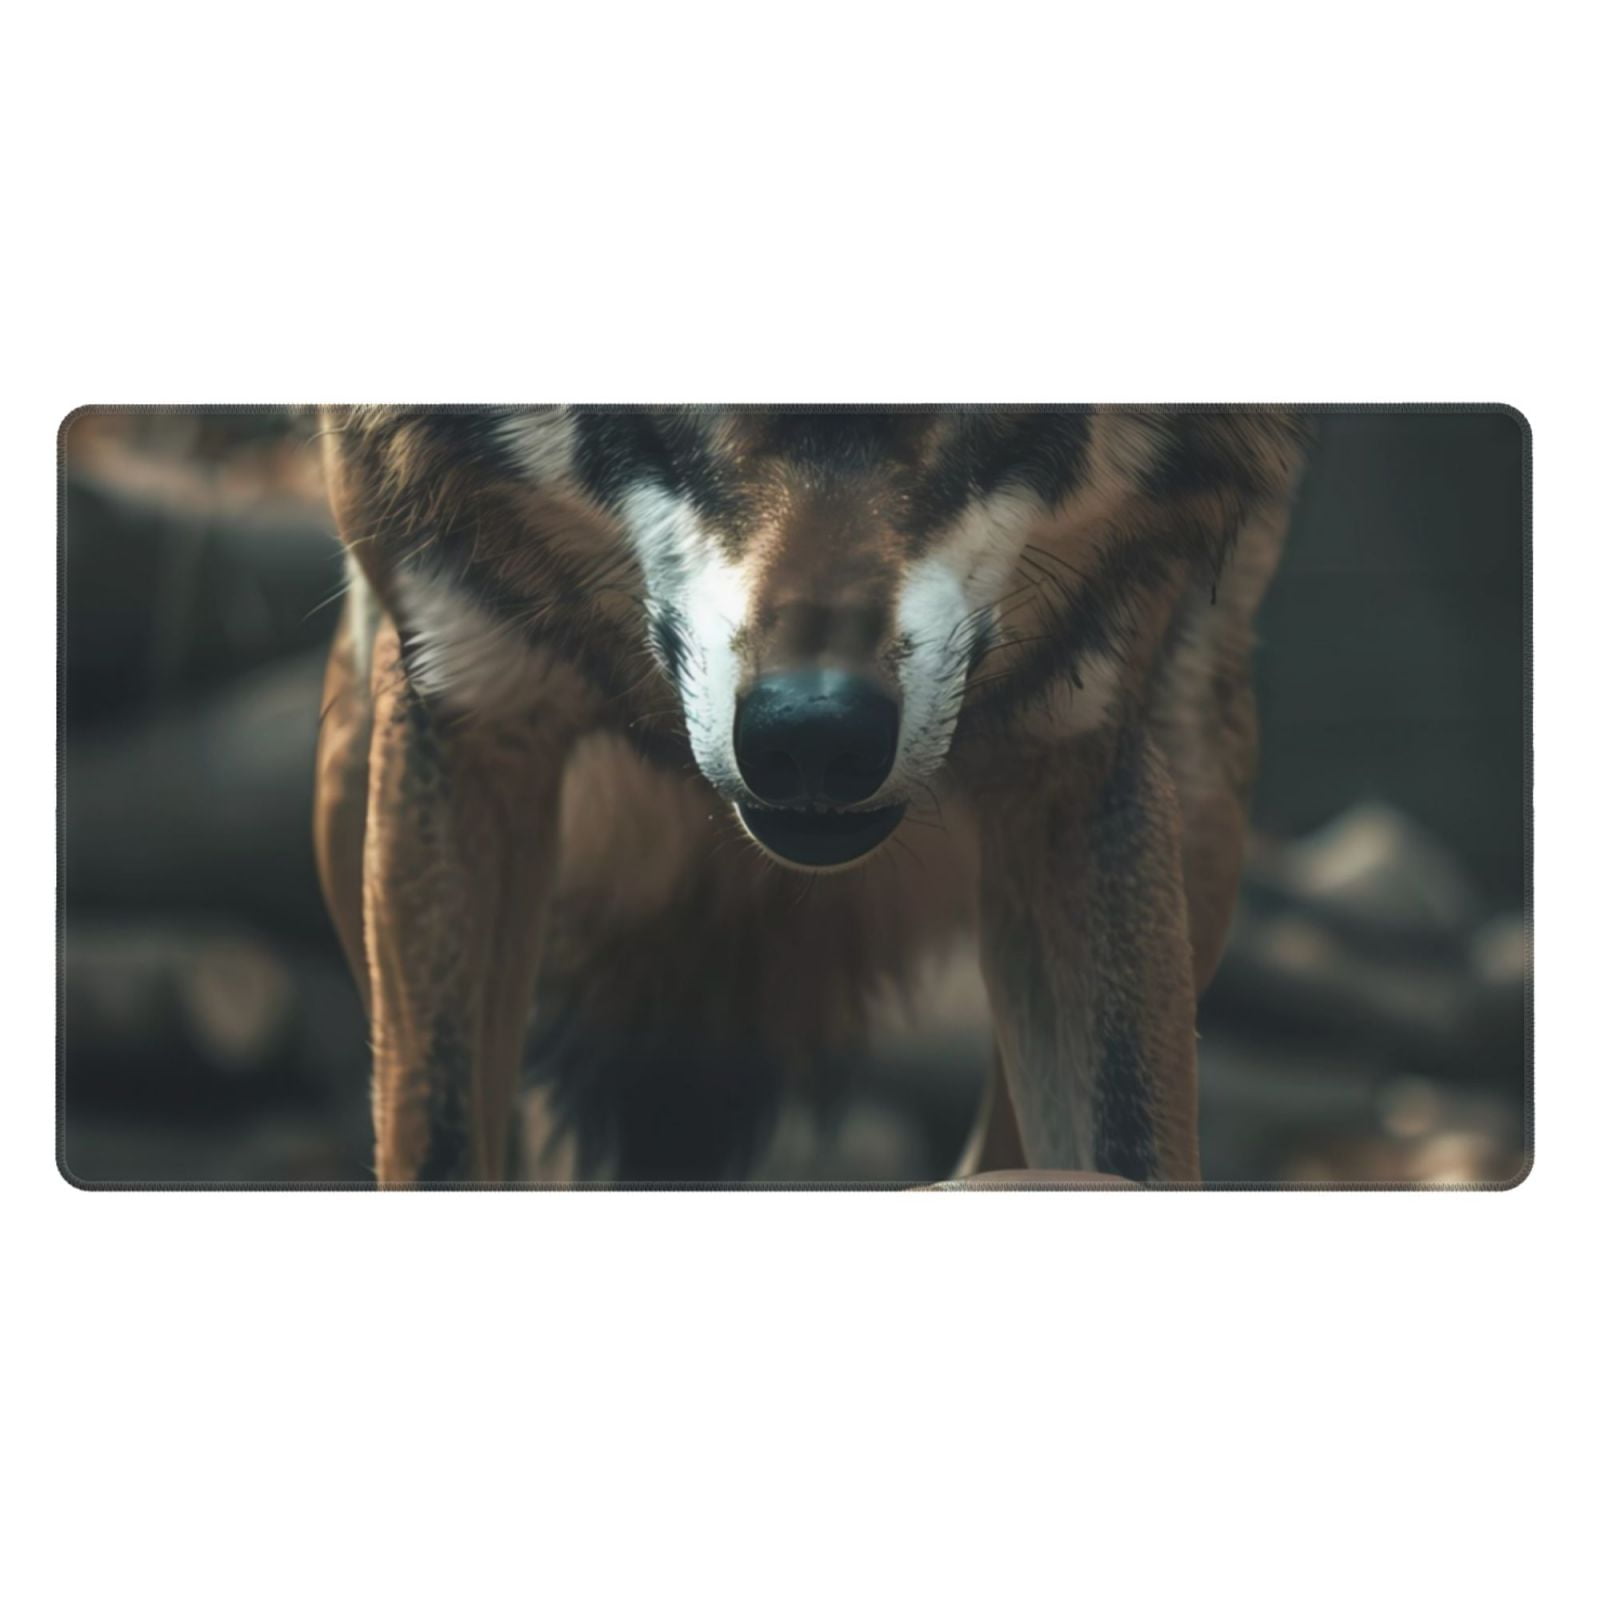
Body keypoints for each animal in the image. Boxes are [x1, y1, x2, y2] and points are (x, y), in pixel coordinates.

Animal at [313, 407, 1306, 1185]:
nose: (816, 736)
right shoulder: (466, 716)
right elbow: (441, 1145)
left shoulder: (1081, 765)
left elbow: (1124, 1152)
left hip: (1199, 801)